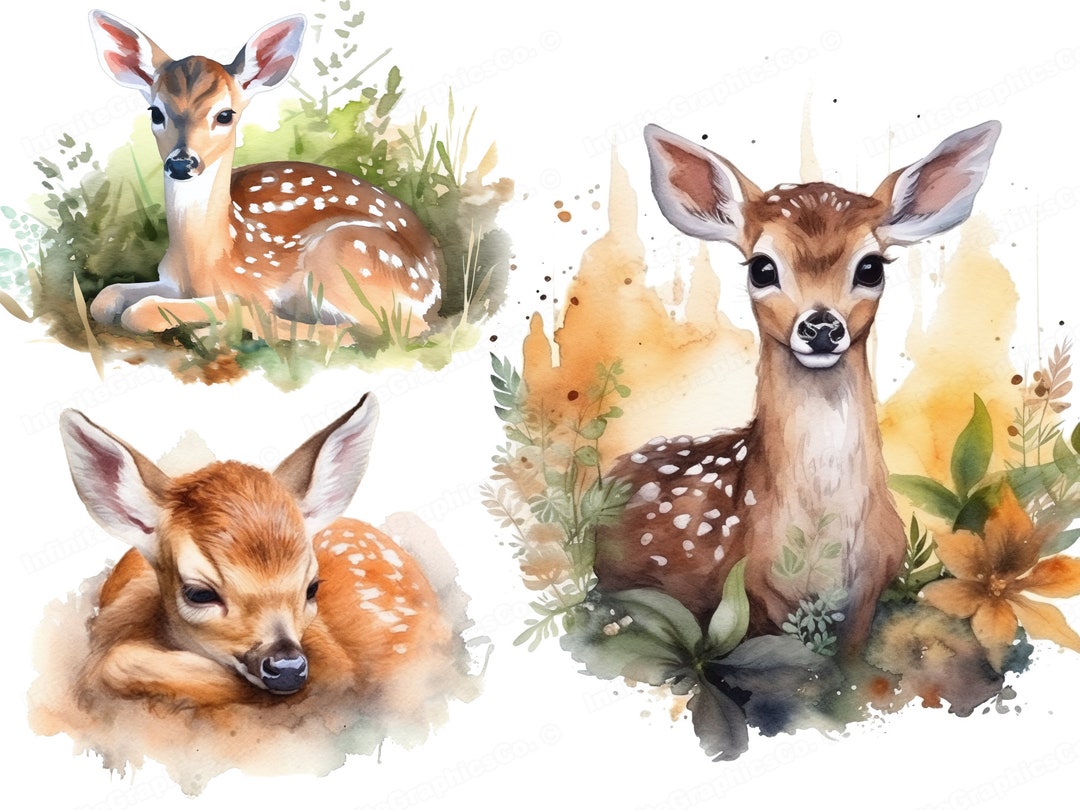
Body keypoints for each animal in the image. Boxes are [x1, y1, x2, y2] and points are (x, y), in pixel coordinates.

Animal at [87, 10, 441, 336]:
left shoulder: (250, 286)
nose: (181, 164)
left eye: (225, 114)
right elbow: (104, 298)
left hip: (343, 254)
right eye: (156, 112)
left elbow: (141, 311)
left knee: (373, 331)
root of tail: (435, 291)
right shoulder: (169, 281)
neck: (205, 263)